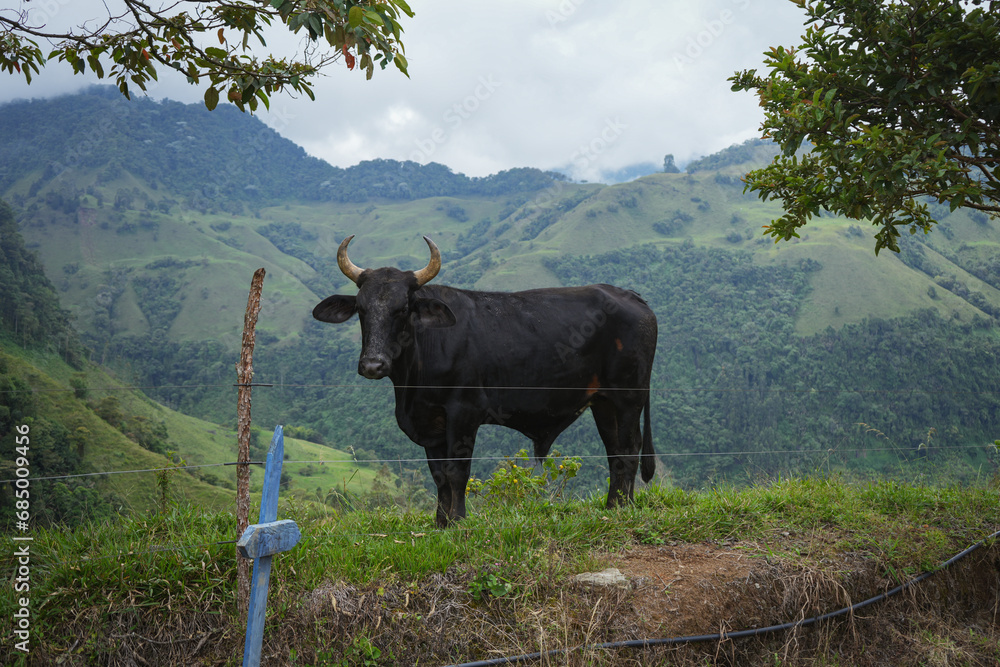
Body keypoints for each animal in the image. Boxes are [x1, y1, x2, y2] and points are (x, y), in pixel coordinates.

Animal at [312, 235, 658, 527]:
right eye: (361, 309)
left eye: (403, 308)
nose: (373, 364)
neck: (412, 385)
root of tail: (632, 297)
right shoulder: (431, 424)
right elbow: (438, 474)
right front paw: (440, 523)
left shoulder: (464, 413)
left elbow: (457, 471)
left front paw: (458, 521)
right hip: (603, 402)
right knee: (614, 449)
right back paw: (612, 506)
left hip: (629, 397)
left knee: (629, 448)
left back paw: (623, 509)